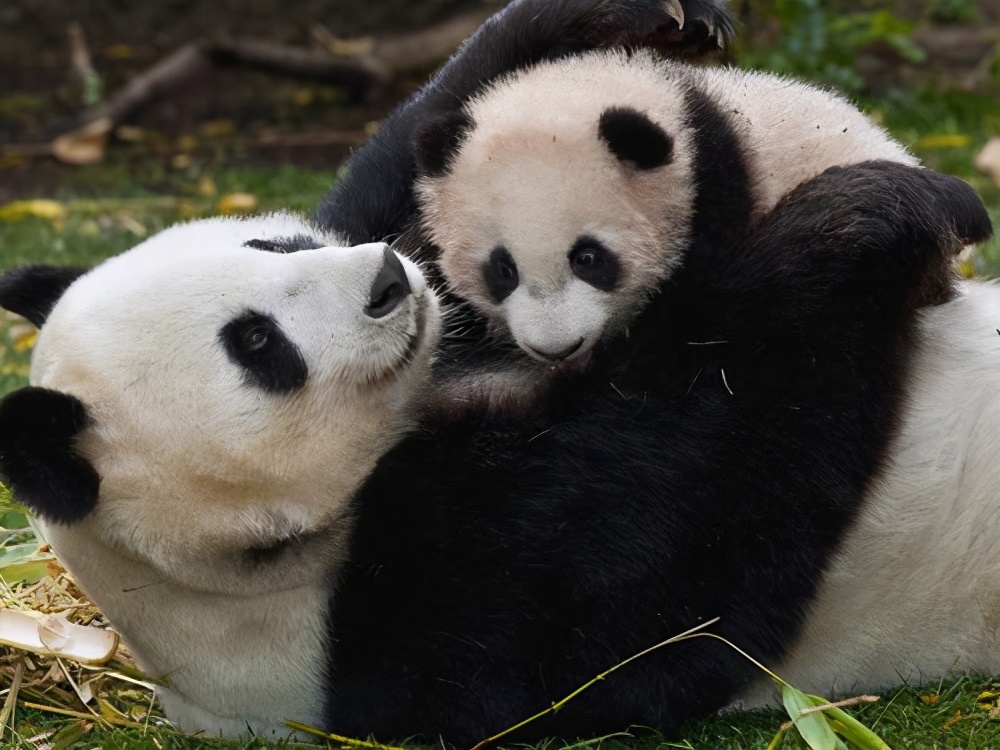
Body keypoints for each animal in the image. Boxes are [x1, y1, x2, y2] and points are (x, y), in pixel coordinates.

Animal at [0, 161, 991, 743]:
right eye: (257, 345)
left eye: (272, 240)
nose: (387, 280)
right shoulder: (427, 624)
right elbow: (707, 503)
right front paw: (869, 216)